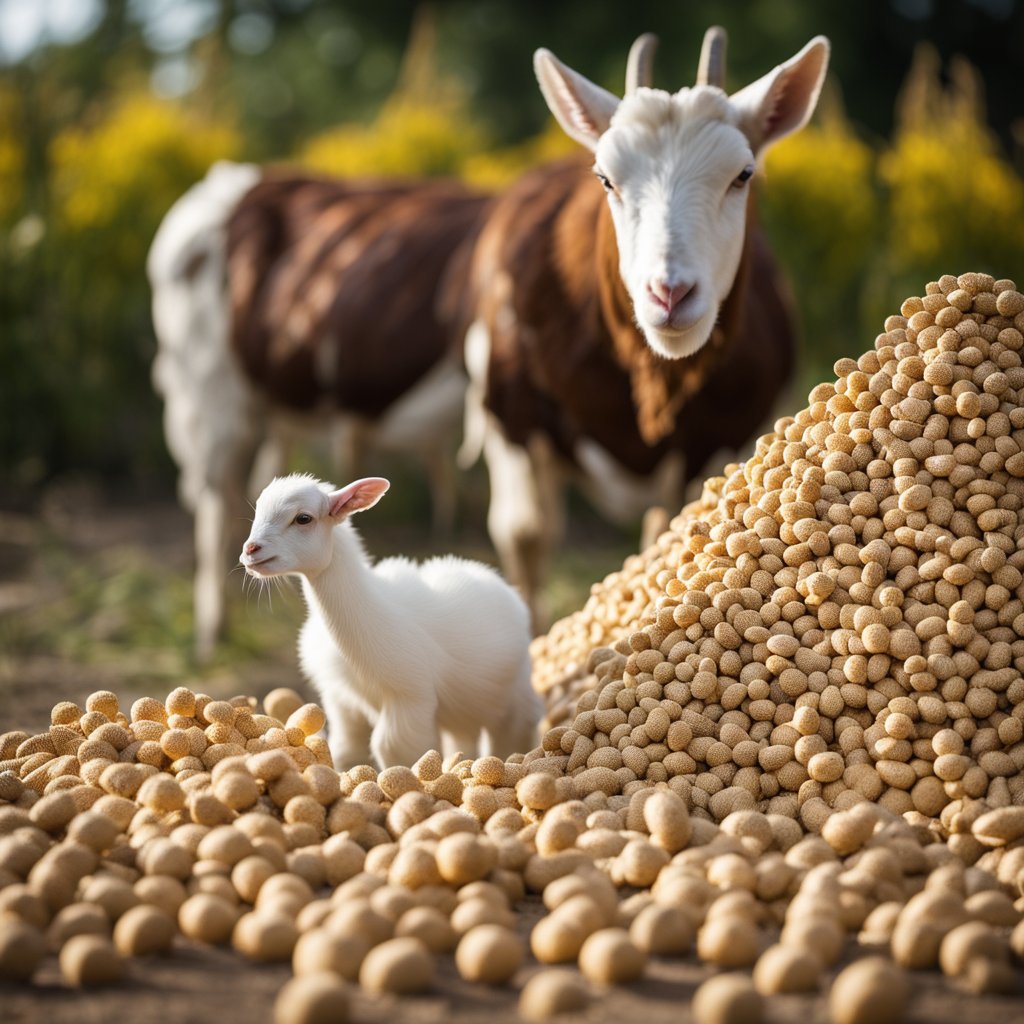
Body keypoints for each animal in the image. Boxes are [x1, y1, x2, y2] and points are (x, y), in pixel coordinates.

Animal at [240, 473, 542, 769]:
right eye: (257, 513)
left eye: (303, 518)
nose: (250, 550)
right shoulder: (341, 699)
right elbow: (346, 750)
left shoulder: (410, 697)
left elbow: (394, 748)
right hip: (461, 714)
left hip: (515, 701)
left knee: (509, 738)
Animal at [458, 28, 830, 622]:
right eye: (605, 179)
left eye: (743, 175)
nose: (670, 293)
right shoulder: (513, 424)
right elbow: (526, 534)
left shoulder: (721, 441)